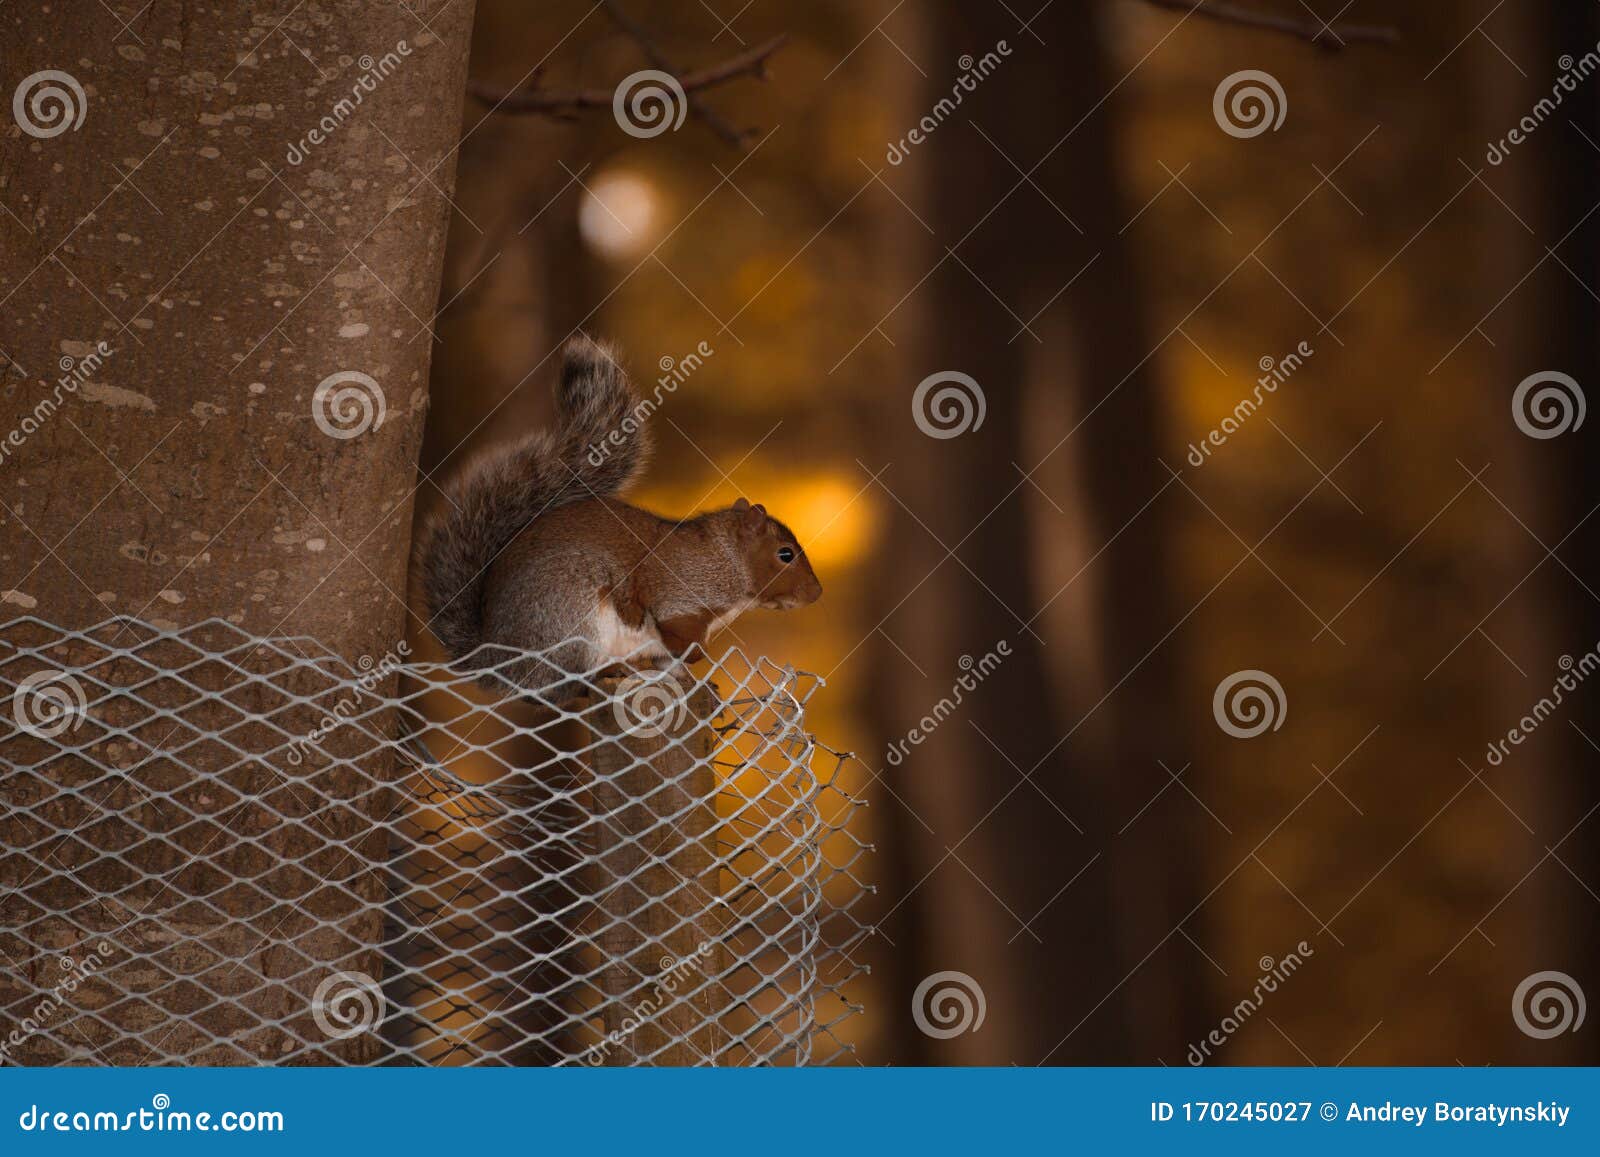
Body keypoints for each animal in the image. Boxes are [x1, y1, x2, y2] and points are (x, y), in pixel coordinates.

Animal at [415, 334, 823, 699]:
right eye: (785, 554)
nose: (816, 593)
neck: (726, 561)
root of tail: (500, 665)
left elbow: (668, 664)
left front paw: (696, 683)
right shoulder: (677, 594)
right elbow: (673, 631)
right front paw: (696, 659)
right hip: (572, 618)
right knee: (561, 685)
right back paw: (605, 673)